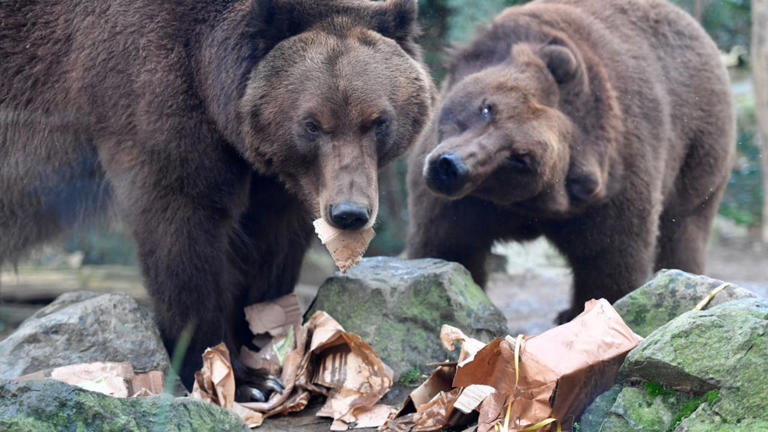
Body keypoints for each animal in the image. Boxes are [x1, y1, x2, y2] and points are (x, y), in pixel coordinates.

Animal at [0, 0, 434, 399]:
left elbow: (270, 240)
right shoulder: (151, 88)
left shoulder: (272, 170)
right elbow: (185, 232)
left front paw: (264, 346)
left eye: (379, 121)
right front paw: (237, 379)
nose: (348, 213)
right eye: (312, 124)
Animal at [406, 0, 735, 323]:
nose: (451, 167)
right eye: (487, 107)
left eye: (519, 157)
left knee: (684, 232)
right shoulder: (462, 202)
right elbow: (450, 246)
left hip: (698, 154)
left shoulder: (612, 191)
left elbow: (611, 263)